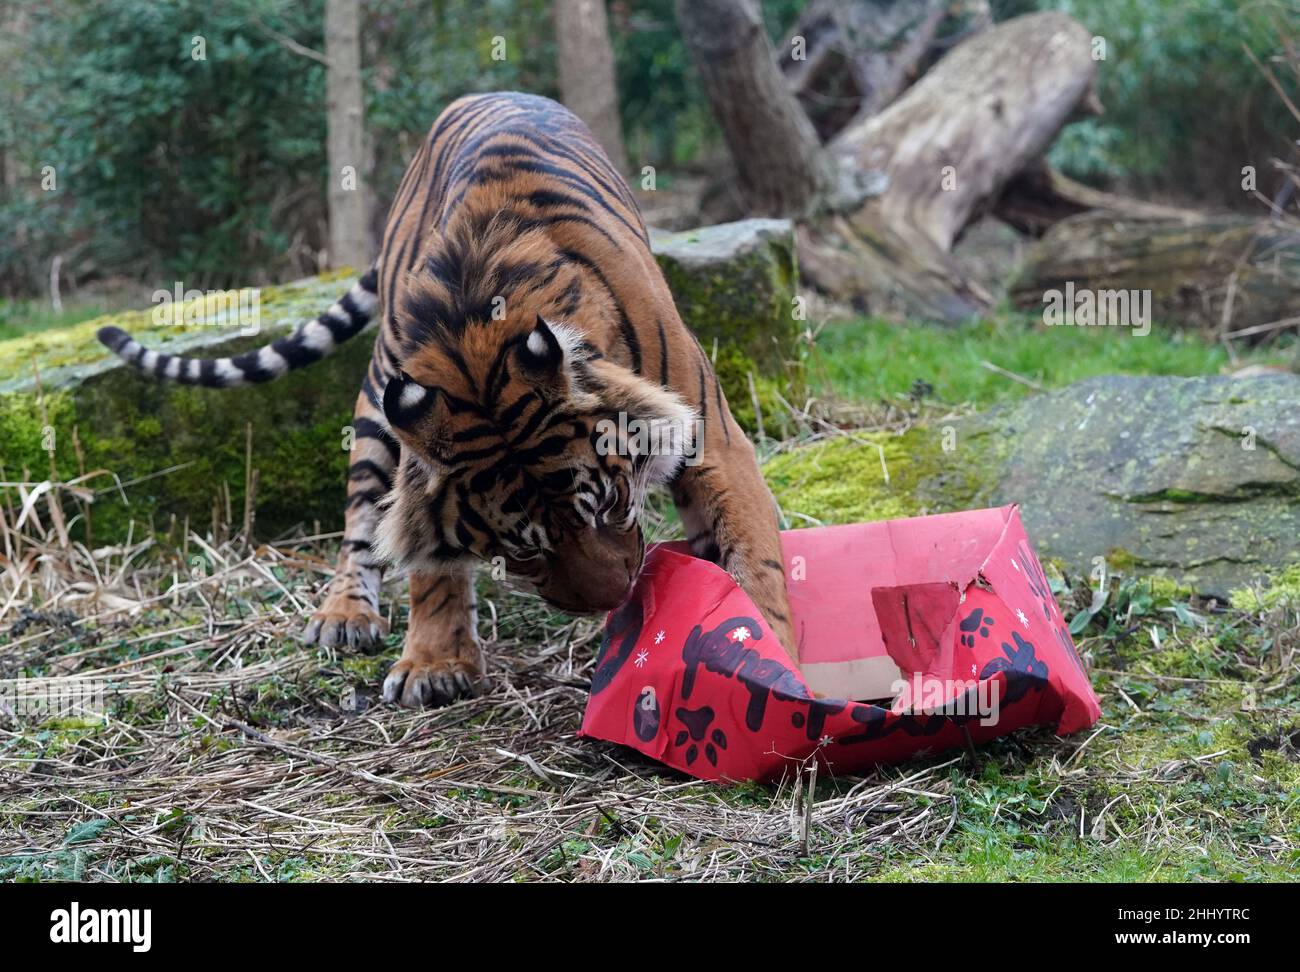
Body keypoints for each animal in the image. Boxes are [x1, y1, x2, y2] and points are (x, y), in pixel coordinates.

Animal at [98, 91, 798, 707]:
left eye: (608, 505)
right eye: (524, 548)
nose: (611, 601)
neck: (479, 334)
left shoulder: (711, 437)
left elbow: (753, 557)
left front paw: (764, 652)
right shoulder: (418, 441)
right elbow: (429, 560)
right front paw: (434, 665)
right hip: (375, 413)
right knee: (361, 520)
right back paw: (344, 613)